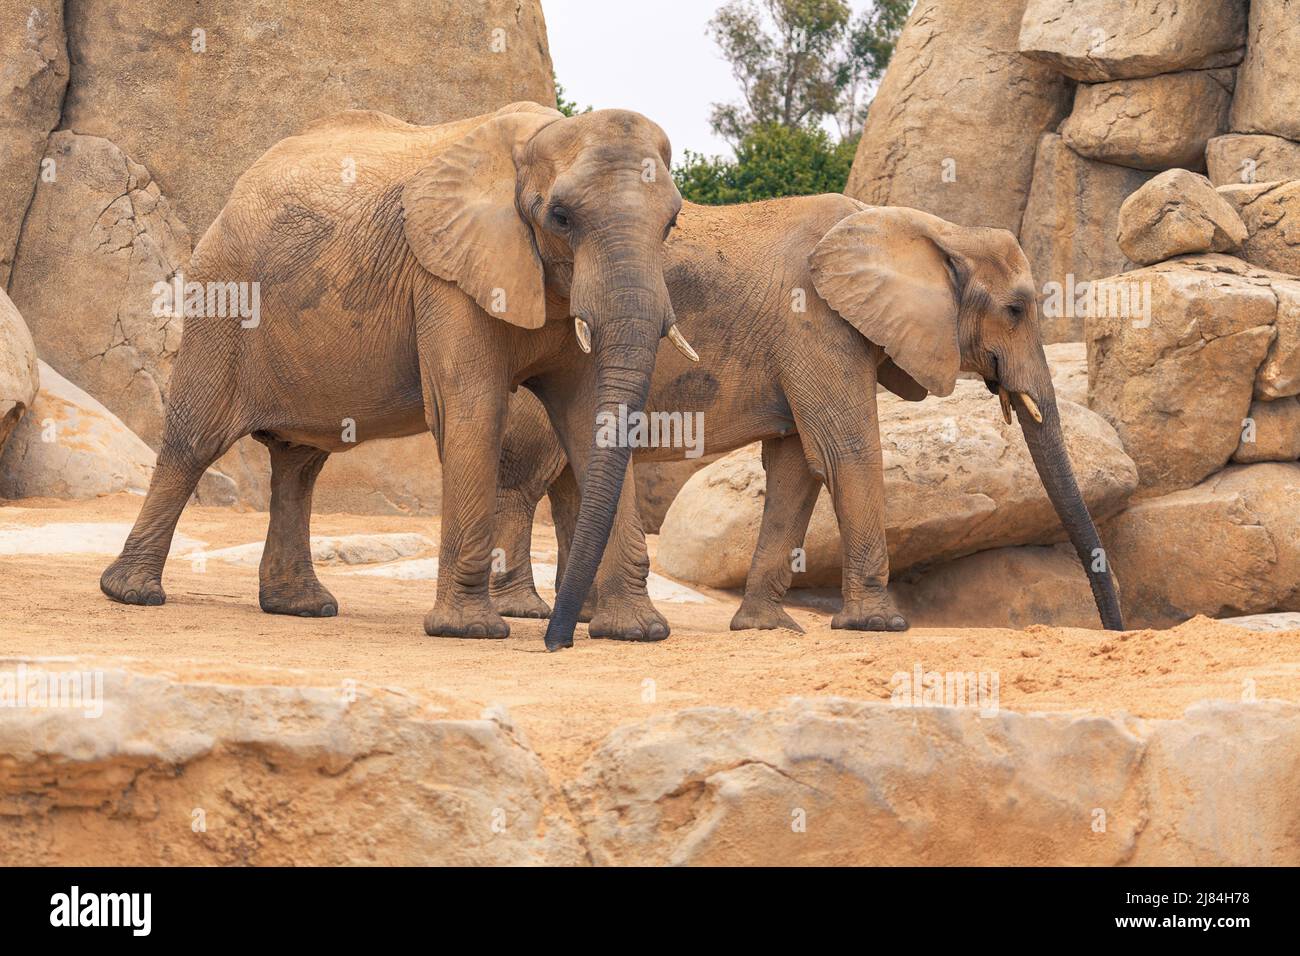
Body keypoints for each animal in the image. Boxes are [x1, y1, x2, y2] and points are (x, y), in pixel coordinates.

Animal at [101, 101, 689, 652]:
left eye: (671, 224)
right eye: (561, 216)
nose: (556, 640)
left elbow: (592, 422)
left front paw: (638, 632)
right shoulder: (445, 277)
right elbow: (473, 412)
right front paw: (469, 632)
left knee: (299, 463)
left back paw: (302, 607)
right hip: (222, 297)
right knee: (194, 444)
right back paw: (133, 593)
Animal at [487, 198, 1126, 634]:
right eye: (1016, 310)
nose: (1115, 628)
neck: (928, 228)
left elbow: (797, 468)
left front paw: (767, 628)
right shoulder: (817, 322)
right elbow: (847, 449)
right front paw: (880, 626)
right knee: (528, 480)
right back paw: (530, 612)